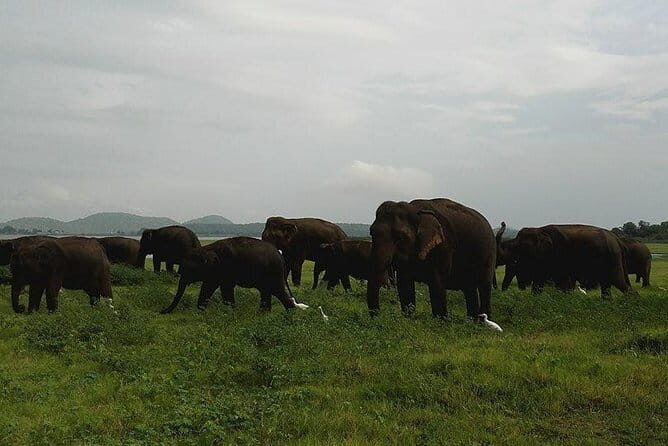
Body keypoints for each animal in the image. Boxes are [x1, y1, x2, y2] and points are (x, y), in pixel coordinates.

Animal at [160, 237, 309, 314]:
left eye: (189, 269)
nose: (162, 311)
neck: (207, 248)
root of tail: (280, 256)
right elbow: (208, 287)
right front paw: (201, 312)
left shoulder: (225, 267)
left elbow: (222, 288)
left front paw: (229, 312)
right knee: (266, 292)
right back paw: (264, 314)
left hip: (273, 272)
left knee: (276, 291)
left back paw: (289, 316)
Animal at [367, 198, 497, 318]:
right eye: (371, 233)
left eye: (399, 237)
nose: (377, 316)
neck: (415, 210)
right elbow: (404, 284)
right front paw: (409, 319)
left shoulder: (443, 246)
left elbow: (437, 283)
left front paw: (440, 322)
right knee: (470, 289)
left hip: (489, 253)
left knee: (484, 287)